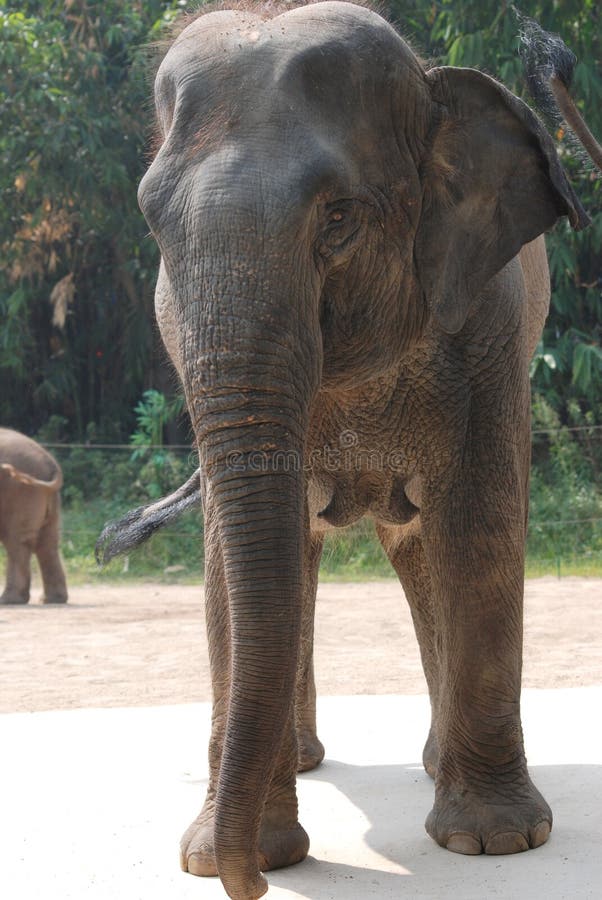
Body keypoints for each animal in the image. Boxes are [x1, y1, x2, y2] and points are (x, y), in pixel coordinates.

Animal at [0, 428, 68, 605]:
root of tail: (51, 463)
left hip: (21, 492)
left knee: (17, 543)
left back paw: (10, 600)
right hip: (46, 495)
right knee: (48, 543)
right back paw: (52, 600)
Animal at [115, 2, 596, 897]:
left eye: (337, 219)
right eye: (156, 227)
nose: (248, 885)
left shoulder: (492, 324)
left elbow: (479, 527)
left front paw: (497, 844)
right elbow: (230, 566)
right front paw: (230, 857)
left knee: (422, 548)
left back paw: (437, 768)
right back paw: (309, 764)